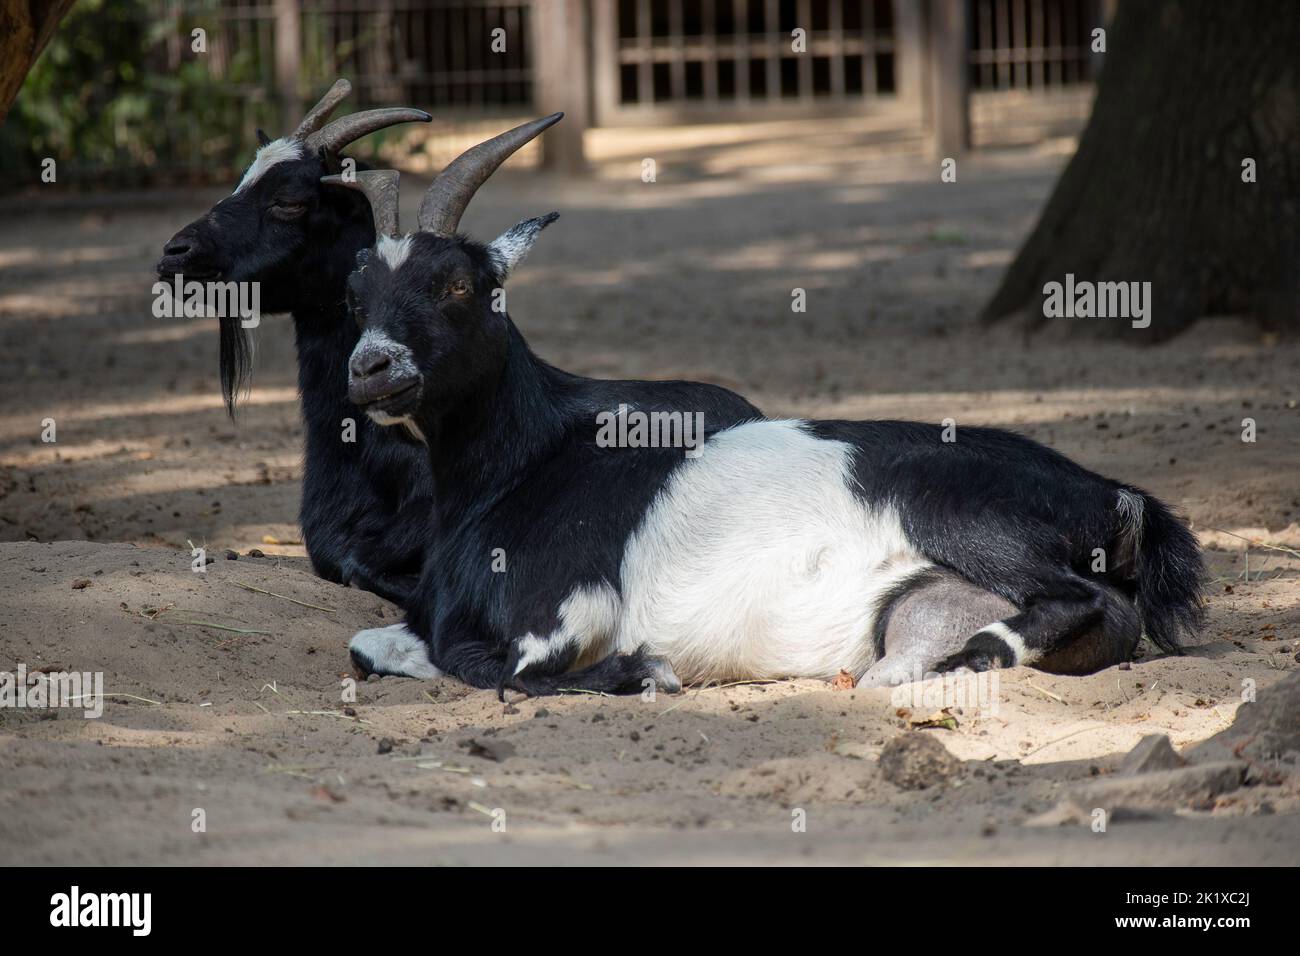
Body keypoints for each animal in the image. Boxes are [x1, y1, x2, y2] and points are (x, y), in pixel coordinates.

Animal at [332, 165, 1205, 697]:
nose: (370, 367)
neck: (520, 464)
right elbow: (370, 646)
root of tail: (1115, 495)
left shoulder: (566, 611)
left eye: (457, 284)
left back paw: (975, 651)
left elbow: (507, 670)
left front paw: (645, 671)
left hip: (960, 514)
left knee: (1085, 598)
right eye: (354, 294)